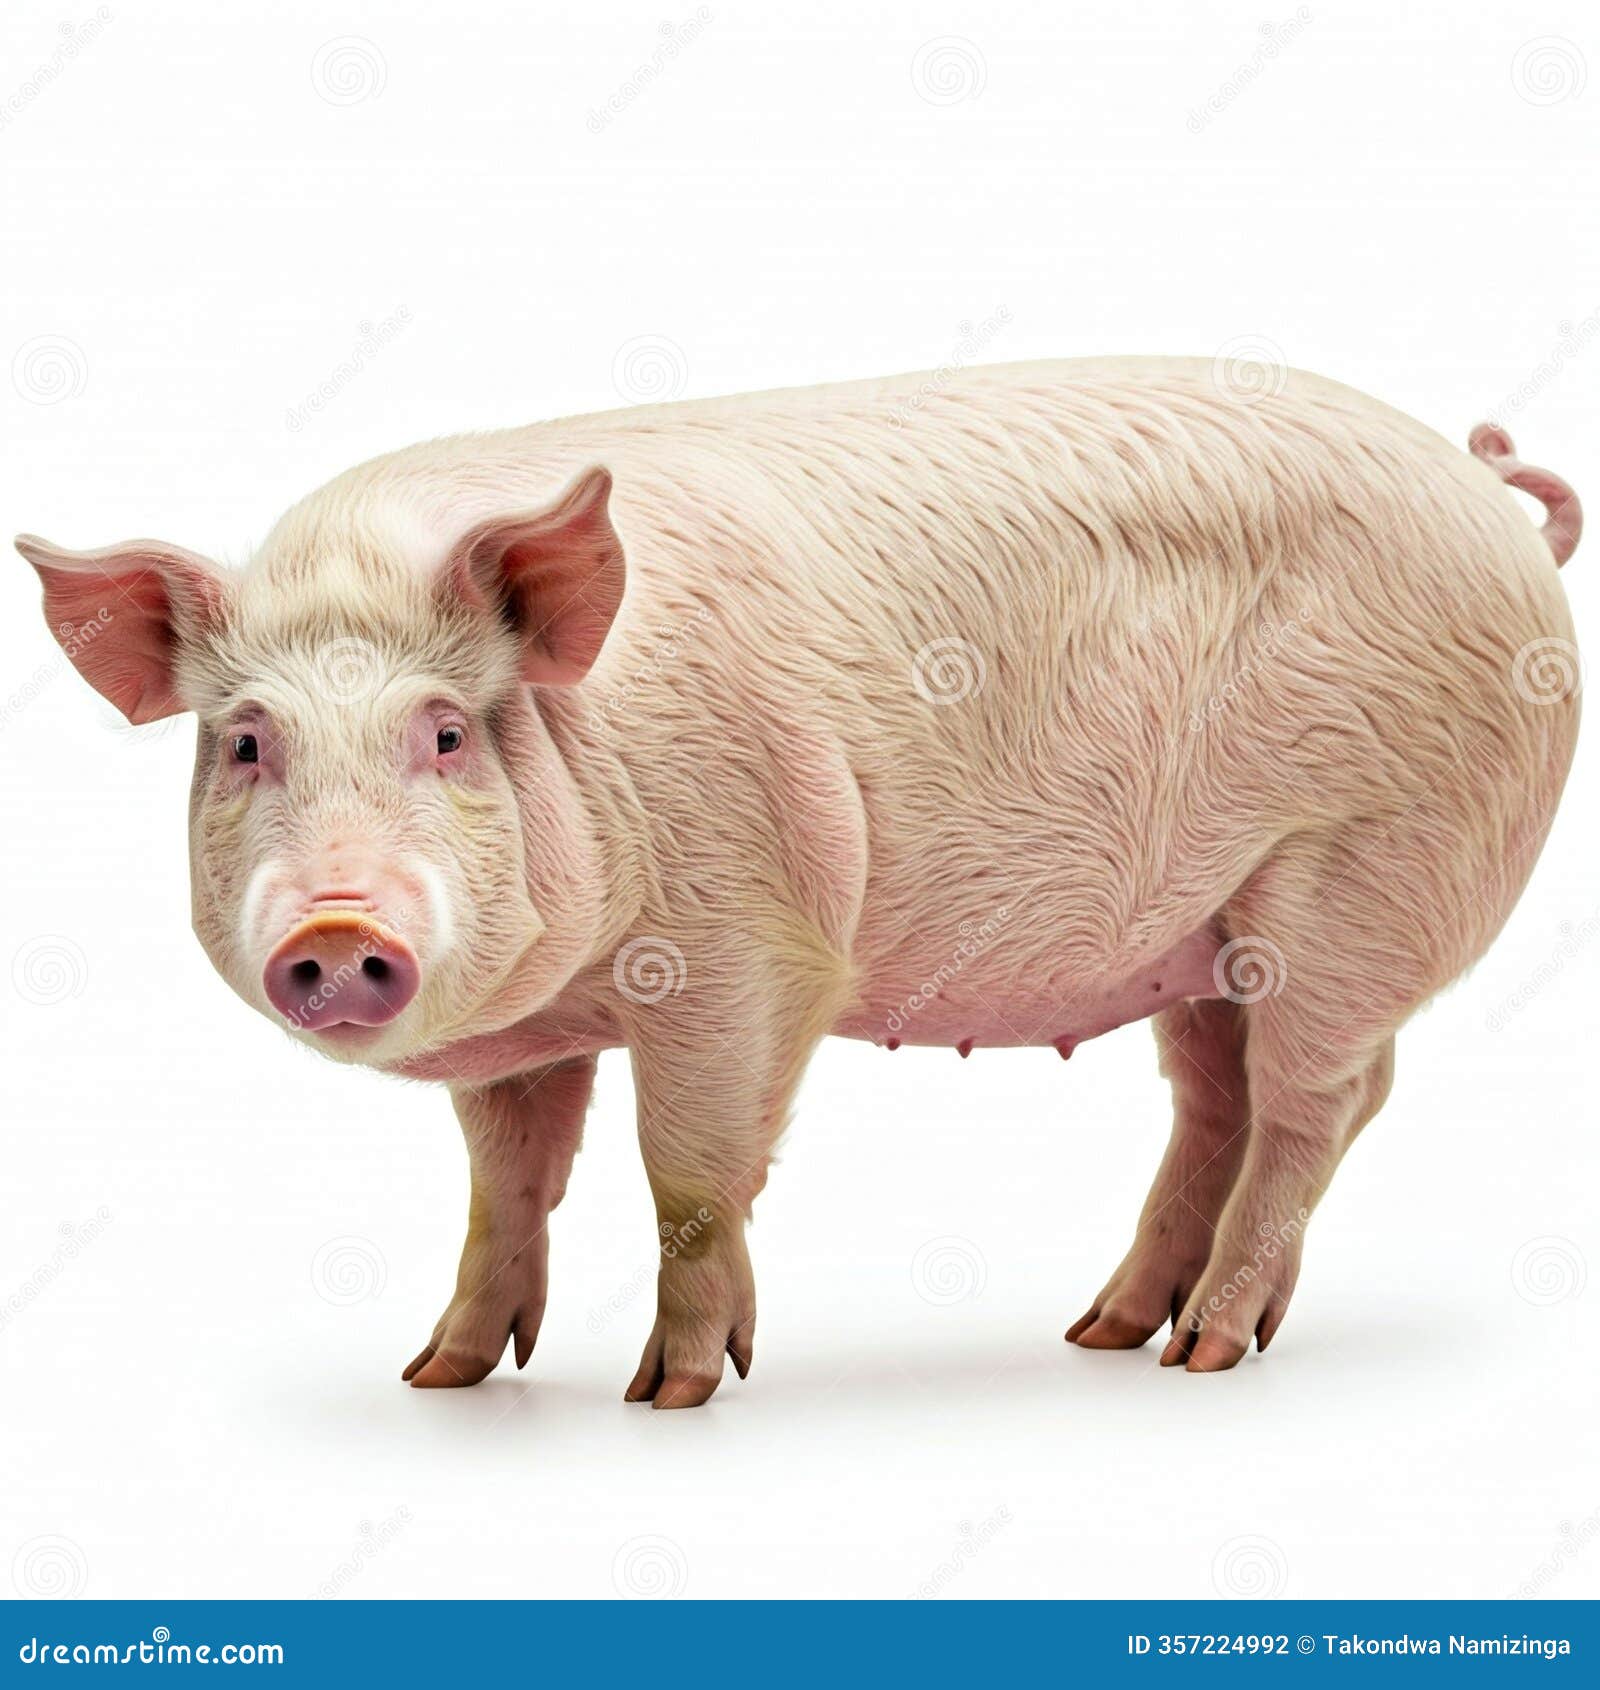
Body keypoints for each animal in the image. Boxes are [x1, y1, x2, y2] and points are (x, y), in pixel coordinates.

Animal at [17, 357, 1582, 1404]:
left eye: (447, 732)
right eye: (246, 741)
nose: (341, 925)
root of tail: (1492, 498)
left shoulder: (750, 944)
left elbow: (691, 1173)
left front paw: (673, 1392)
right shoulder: (525, 1031)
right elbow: (506, 1178)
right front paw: (440, 1373)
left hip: (1359, 871)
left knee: (1321, 1100)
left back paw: (1203, 1352)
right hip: (1201, 926)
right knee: (1223, 1100)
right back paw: (1108, 1330)